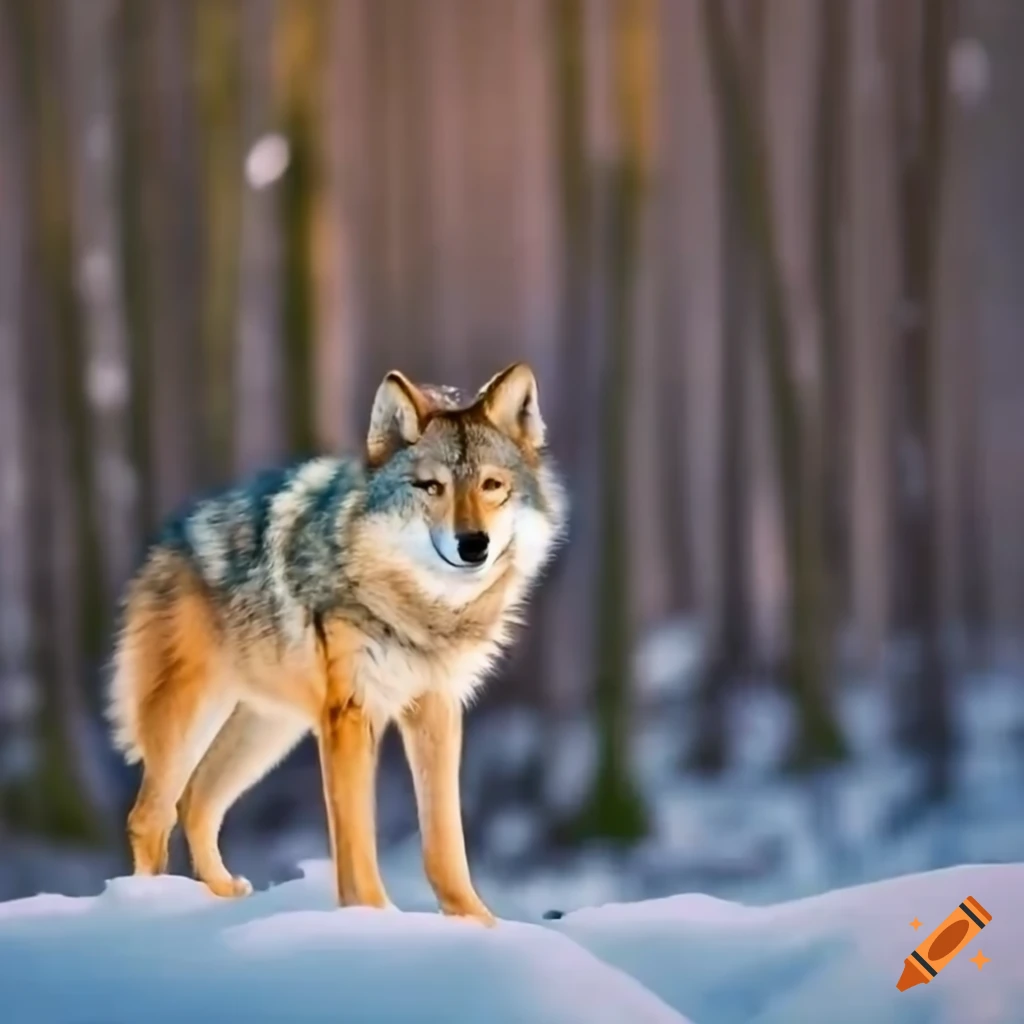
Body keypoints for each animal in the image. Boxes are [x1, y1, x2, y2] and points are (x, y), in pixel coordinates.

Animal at [107, 363, 566, 925]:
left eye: (492, 485)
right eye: (430, 486)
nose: (473, 544)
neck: (421, 610)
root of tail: (164, 543)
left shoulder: (436, 709)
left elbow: (445, 843)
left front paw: (477, 924)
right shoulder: (352, 713)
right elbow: (356, 838)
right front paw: (371, 917)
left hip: (268, 732)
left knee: (196, 803)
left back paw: (221, 901)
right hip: (195, 719)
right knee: (150, 816)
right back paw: (151, 911)